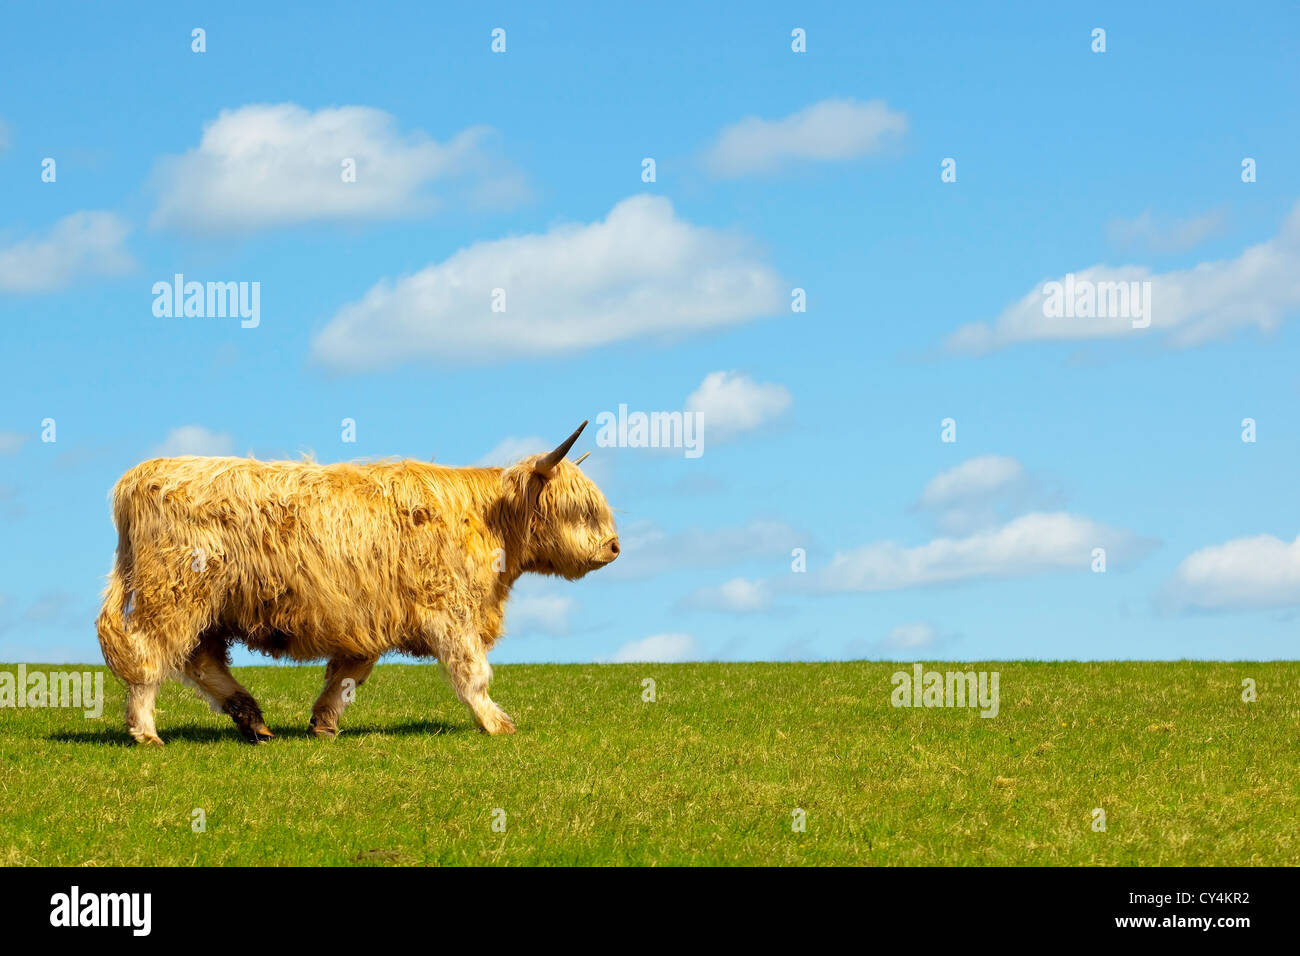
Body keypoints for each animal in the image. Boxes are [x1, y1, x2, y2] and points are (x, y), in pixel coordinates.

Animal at [94, 421, 618, 745]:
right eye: (579, 508)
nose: (614, 546)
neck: (487, 522)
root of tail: (139, 475)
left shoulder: (372, 618)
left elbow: (347, 674)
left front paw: (323, 723)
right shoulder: (450, 611)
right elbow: (472, 672)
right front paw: (495, 722)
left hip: (207, 608)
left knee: (200, 661)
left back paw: (253, 719)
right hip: (175, 594)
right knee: (148, 656)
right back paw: (145, 730)